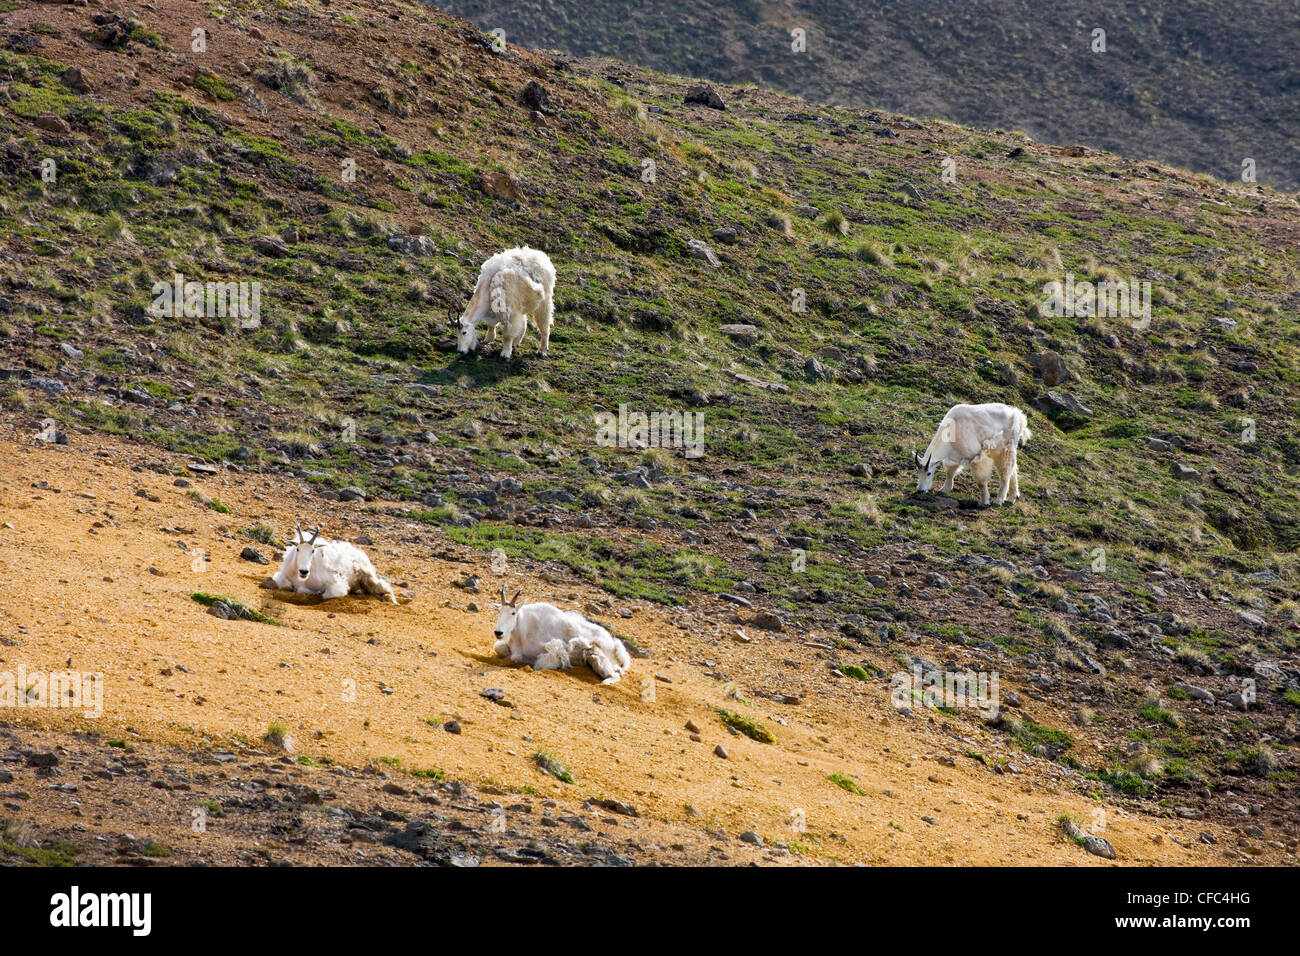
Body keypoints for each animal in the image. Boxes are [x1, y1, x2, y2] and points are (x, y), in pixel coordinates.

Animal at [269, 521, 398, 603]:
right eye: (297, 549)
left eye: (313, 550)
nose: (304, 571)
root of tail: (360, 553)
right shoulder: (281, 576)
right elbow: (286, 585)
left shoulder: (336, 584)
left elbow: (326, 594)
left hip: (368, 576)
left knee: (383, 586)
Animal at [491, 587, 631, 684]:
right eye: (499, 611)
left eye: (513, 613)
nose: (498, 632)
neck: (521, 630)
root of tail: (614, 644)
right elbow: (500, 649)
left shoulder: (554, 650)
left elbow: (540, 664)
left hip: (598, 656)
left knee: (615, 674)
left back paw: (606, 681)